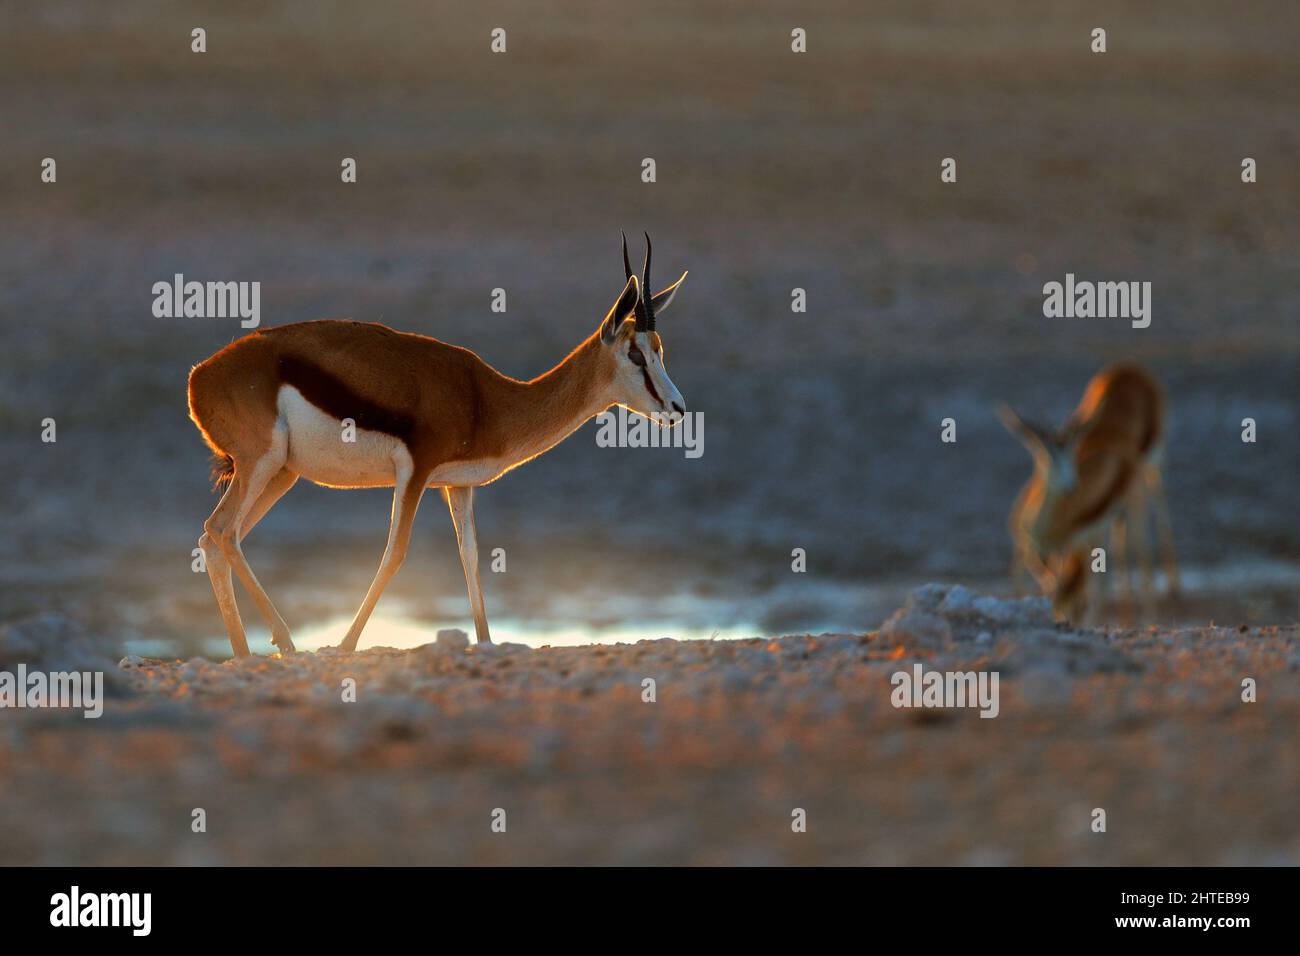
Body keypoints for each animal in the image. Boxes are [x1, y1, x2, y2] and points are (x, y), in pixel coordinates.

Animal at [187, 233, 688, 657]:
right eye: (635, 353)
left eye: (660, 349)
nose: (678, 408)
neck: (488, 400)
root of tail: (199, 375)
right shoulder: (416, 472)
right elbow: (395, 552)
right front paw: (345, 646)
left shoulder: (457, 485)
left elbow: (470, 558)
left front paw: (485, 643)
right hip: (261, 464)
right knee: (223, 532)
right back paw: (285, 643)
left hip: (282, 474)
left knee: (215, 539)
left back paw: (244, 653)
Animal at [998, 362, 1179, 625]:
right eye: (1044, 453)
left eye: (1069, 454)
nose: (1071, 486)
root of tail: (1127, 367)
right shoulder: (1038, 550)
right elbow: (1051, 587)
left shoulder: (1081, 541)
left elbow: (1091, 588)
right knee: (1123, 543)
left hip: (1151, 471)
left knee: (1145, 536)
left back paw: (1161, 602)